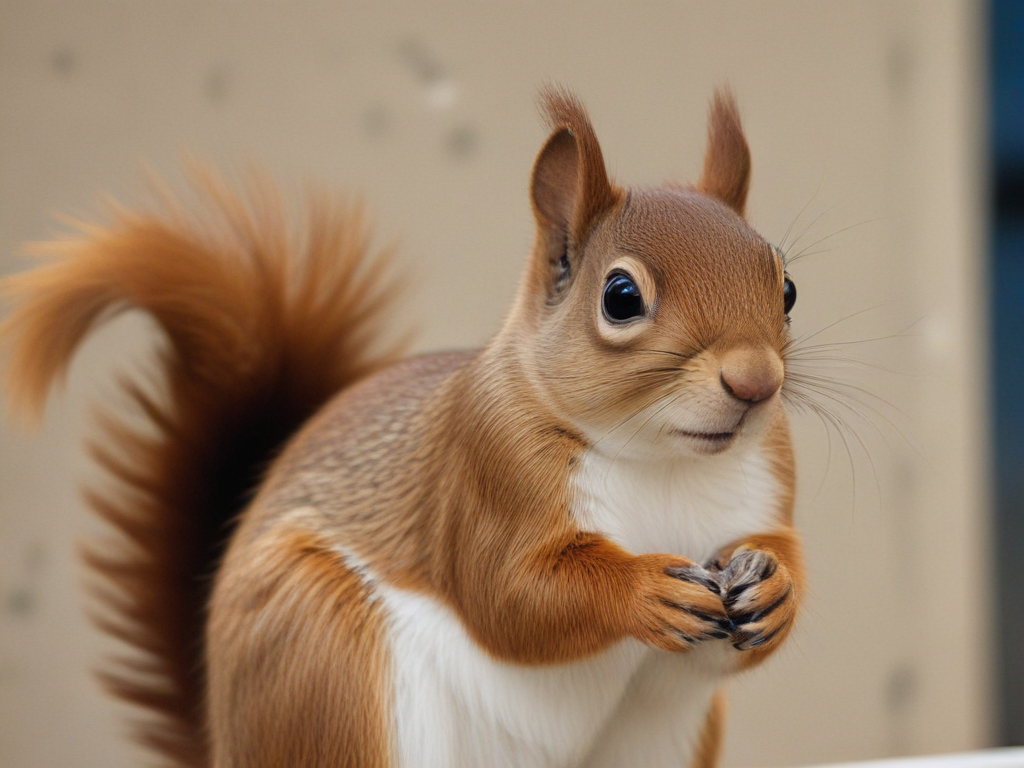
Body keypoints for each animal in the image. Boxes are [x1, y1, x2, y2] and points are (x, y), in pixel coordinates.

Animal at [1, 87, 804, 768]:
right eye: (621, 296)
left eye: (787, 287)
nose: (755, 382)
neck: (661, 460)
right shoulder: (485, 472)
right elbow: (511, 595)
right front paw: (643, 589)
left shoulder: (768, 485)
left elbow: (761, 593)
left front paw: (778, 587)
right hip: (323, 658)